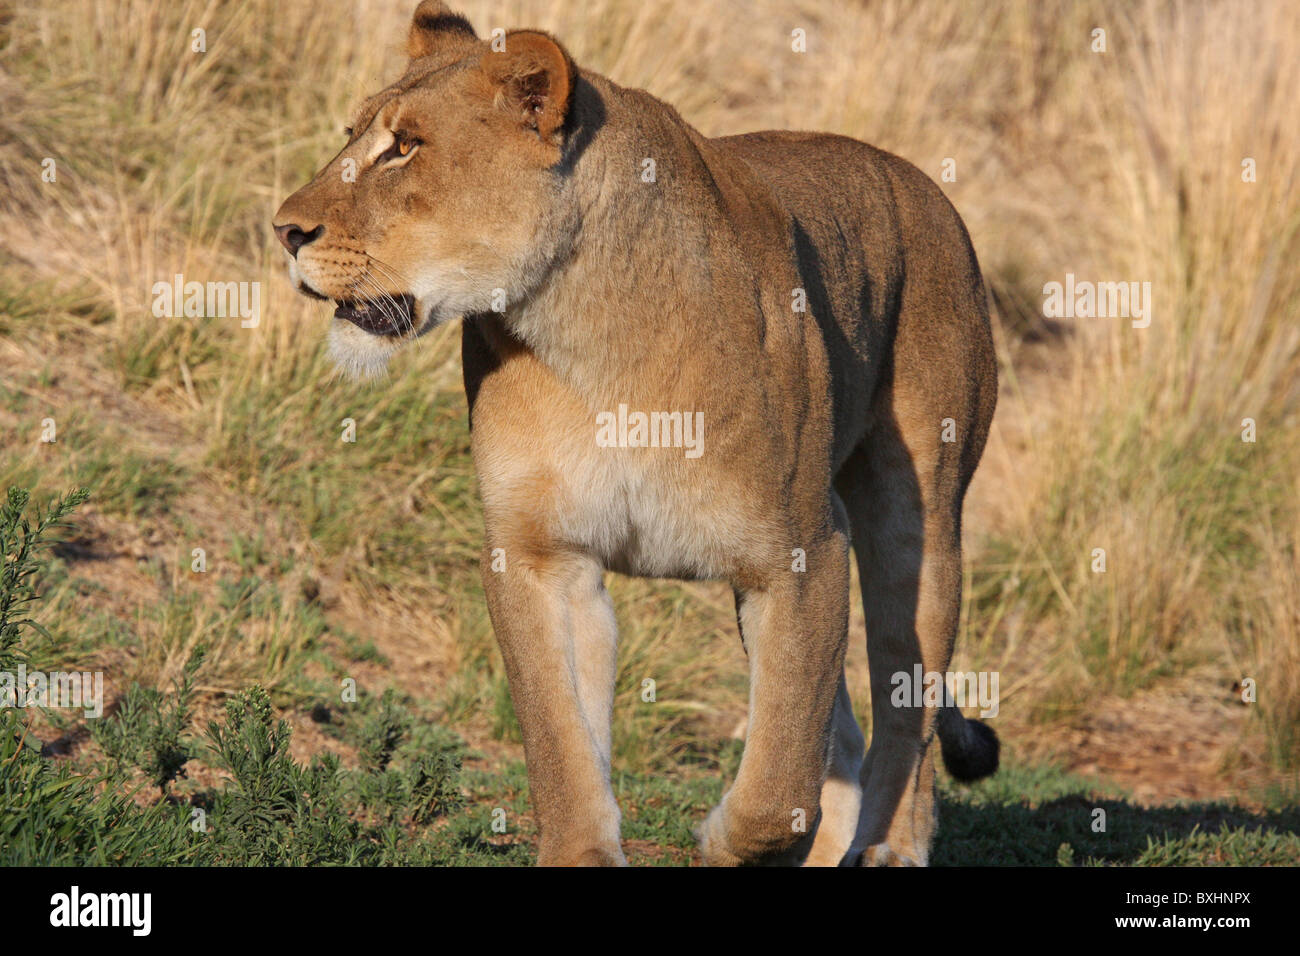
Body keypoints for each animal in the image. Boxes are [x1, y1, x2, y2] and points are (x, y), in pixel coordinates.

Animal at [273, 0, 999, 867]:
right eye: (351, 134)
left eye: (406, 146)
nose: (283, 231)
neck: (586, 335)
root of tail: (925, 188)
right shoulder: (540, 554)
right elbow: (563, 748)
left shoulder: (802, 552)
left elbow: (779, 778)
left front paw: (723, 838)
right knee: (848, 734)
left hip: (917, 524)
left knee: (905, 719)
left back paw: (888, 846)